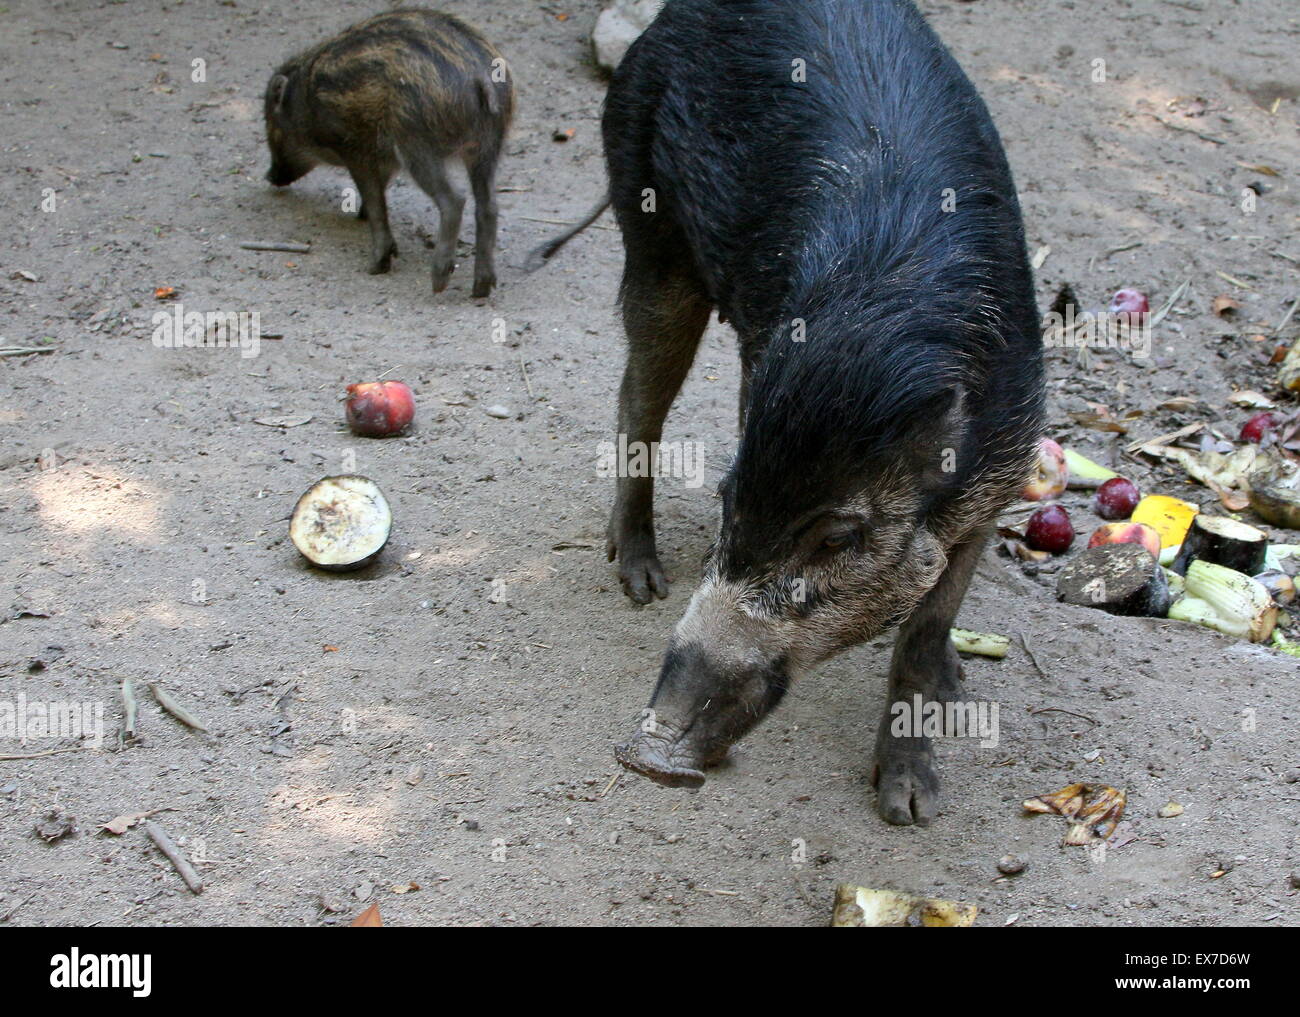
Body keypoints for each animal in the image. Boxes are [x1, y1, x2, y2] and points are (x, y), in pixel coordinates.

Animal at [263, 9, 513, 298]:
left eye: (271, 124)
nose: (269, 177)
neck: (306, 98)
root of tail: (479, 76)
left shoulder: (356, 151)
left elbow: (375, 199)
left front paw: (376, 265)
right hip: (487, 148)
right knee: (489, 206)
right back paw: (481, 287)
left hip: (416, 142)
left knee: (454, 200)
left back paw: (438, 280)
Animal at [581, 0, 1045, 825]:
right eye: (728, 504)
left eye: (836, 538)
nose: (642, 754)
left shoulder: (1003, 474)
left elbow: (925, 634)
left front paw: (910, 809)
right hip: (649, 222)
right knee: (638, 396)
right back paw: (641, 580)